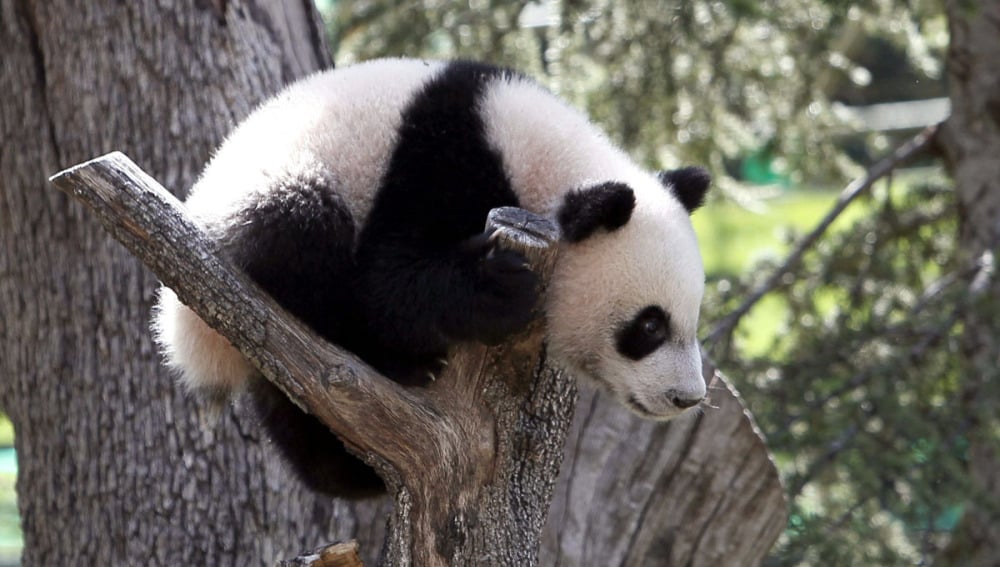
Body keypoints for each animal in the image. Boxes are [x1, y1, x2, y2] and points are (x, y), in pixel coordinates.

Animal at [152, 58, 710, 499]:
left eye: (692, 320)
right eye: (650, 326)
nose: (686, 397)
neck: (551, 163)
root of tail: (182, 334)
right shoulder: (438, 159)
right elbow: (387, 279)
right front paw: (497, 289)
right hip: (275, 193)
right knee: (300, 232)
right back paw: (397, 363)